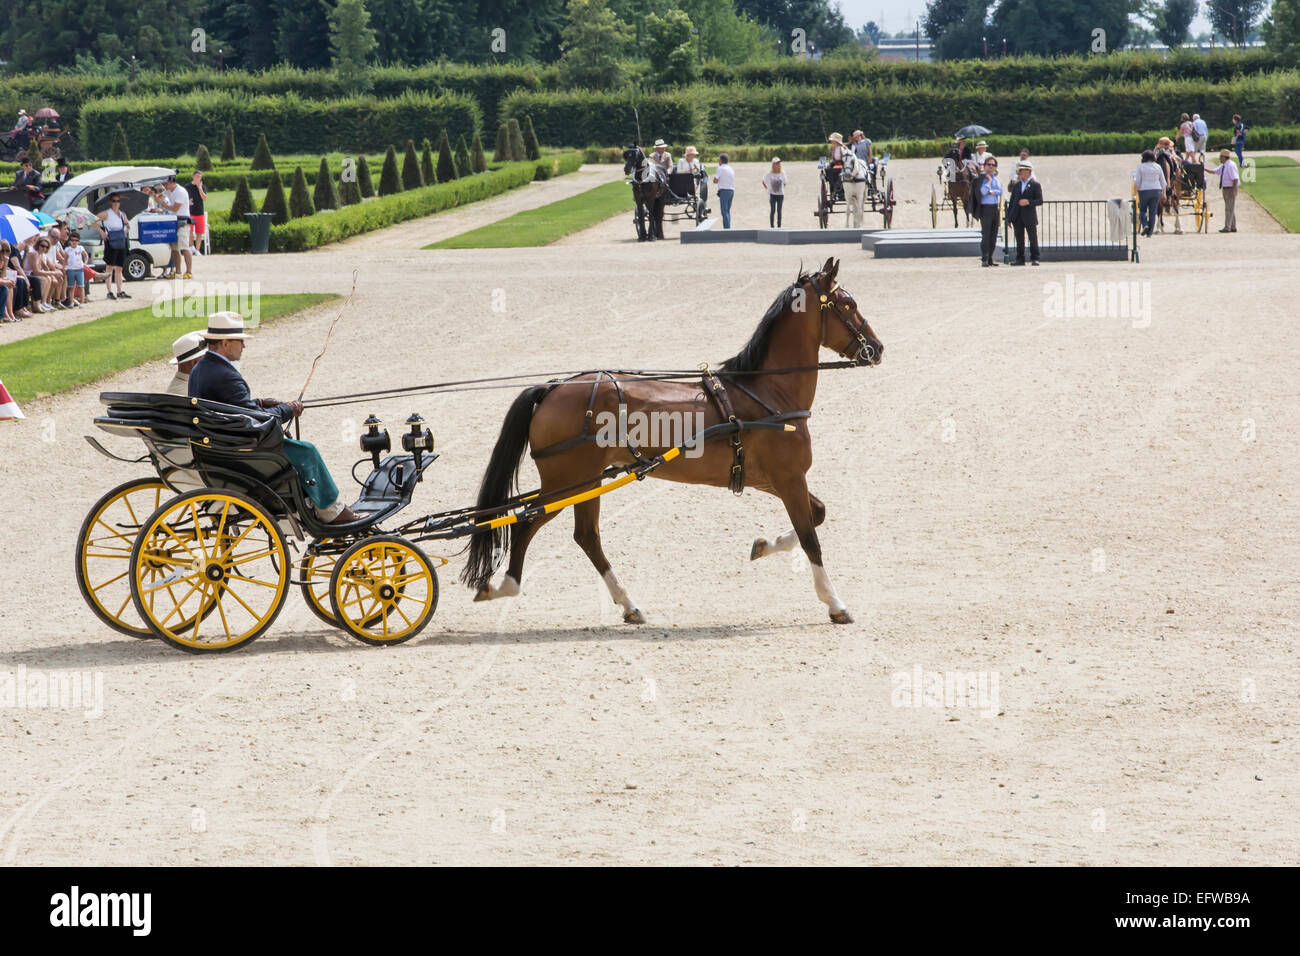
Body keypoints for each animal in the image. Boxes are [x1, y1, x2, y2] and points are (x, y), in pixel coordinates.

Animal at [460, 256, 884, 625]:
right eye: (848, 304)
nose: (877, 348)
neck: (767, 392)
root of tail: (553, 388)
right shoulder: (789, 478)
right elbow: (811, 538)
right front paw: (835, 603)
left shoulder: (773, 480)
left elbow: (816, 516)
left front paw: (764, 545)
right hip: (566, 482)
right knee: (525, 524)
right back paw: (505, 586)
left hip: (586, 482)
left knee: (585, 536)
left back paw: (628, 604)